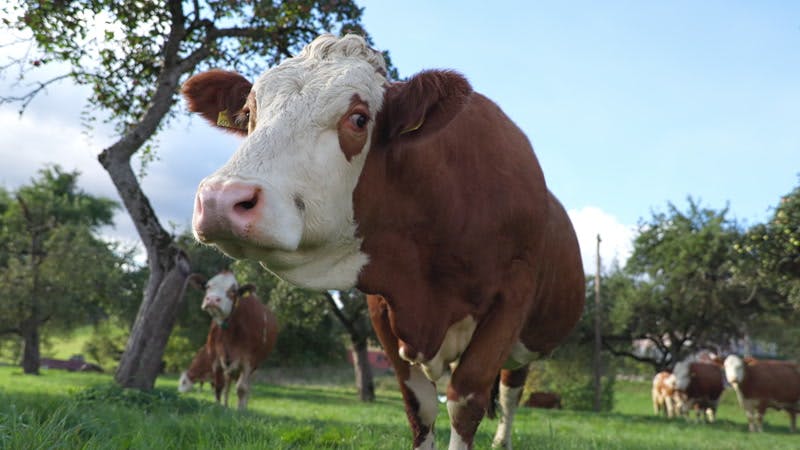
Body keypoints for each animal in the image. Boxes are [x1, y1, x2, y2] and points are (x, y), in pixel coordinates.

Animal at [190, 270, 279, 410]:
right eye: (208, 286)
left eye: (233, 291)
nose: (212, 299)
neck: (229, 333)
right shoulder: (215, 358)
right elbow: (218, 385)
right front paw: (219, 407)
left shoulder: (249, 360)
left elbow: (242, 388)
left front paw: (240, 410)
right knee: (227, 384)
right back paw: (226, 405)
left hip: (254, 366)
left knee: (246, 386)